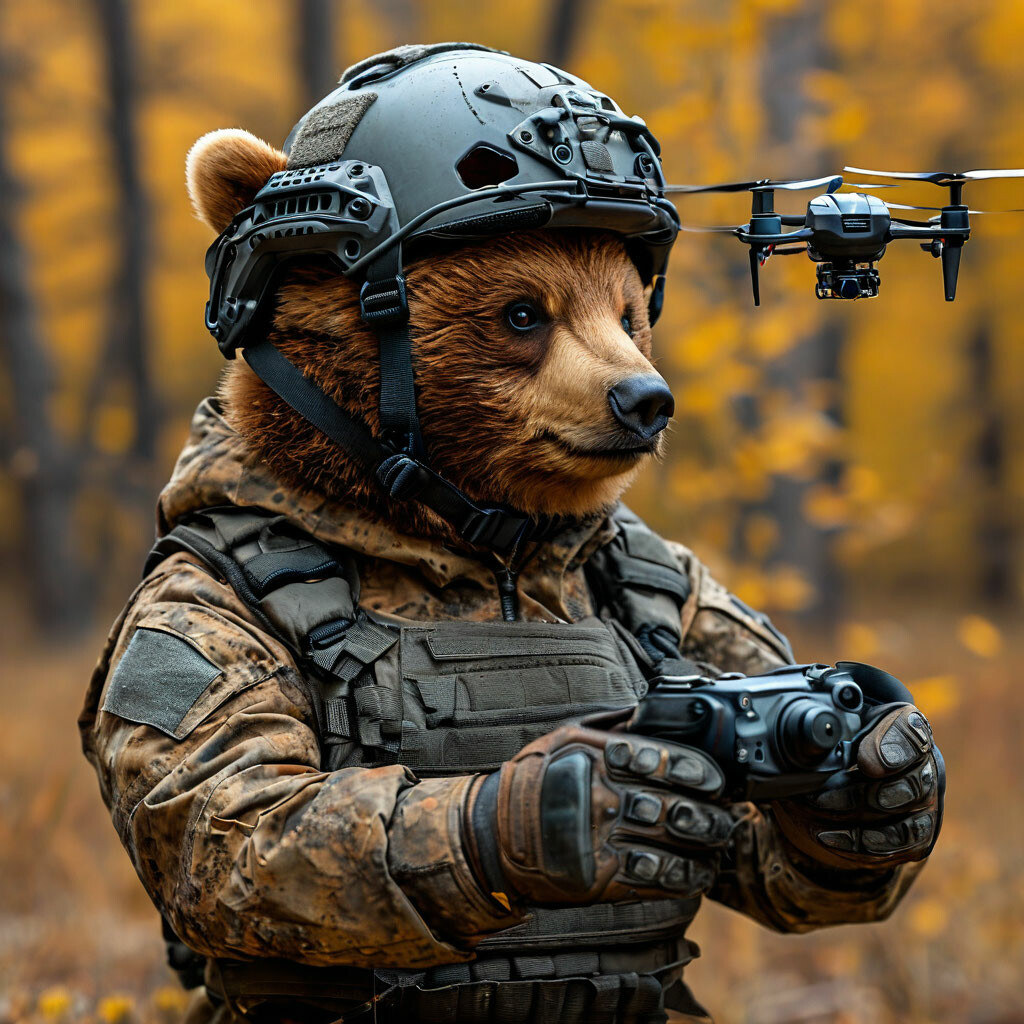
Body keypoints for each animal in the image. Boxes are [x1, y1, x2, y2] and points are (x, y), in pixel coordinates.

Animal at [80, 45, 941, 1024]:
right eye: (522, 312)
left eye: (627, 312)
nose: (645, 399)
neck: (480, 541)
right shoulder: (194, 605)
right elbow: (235, 816)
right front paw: (561, 805)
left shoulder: (682, 584)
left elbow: (769, 861)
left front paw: (880, 787)